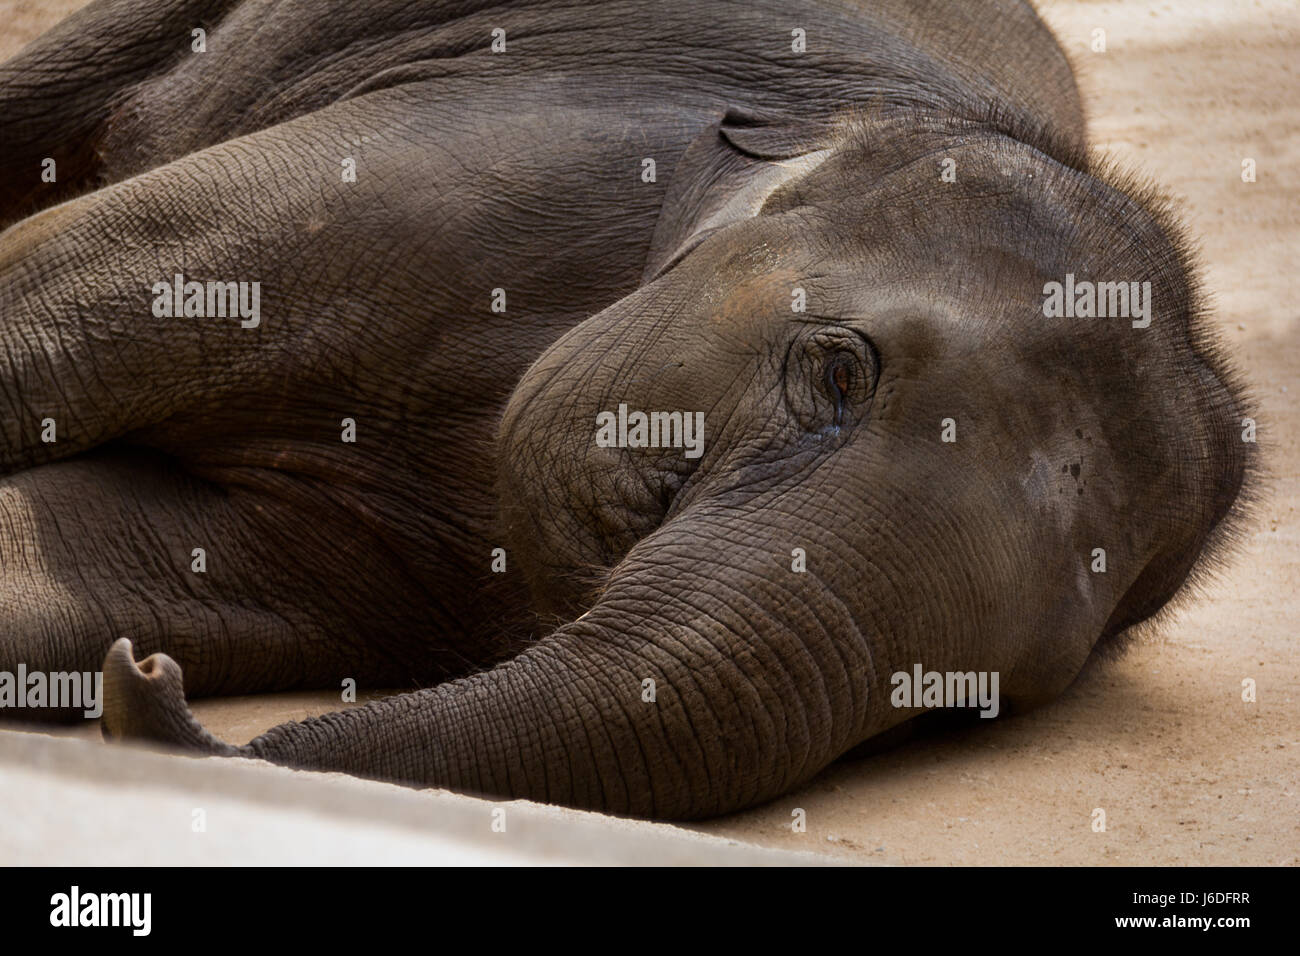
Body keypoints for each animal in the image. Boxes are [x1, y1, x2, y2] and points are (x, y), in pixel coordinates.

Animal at [0, 0, 1252, 820]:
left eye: (969, 703)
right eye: (838, 374)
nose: (145, 680)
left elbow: (106, 563)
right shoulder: (495, 162)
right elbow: (50, 302)